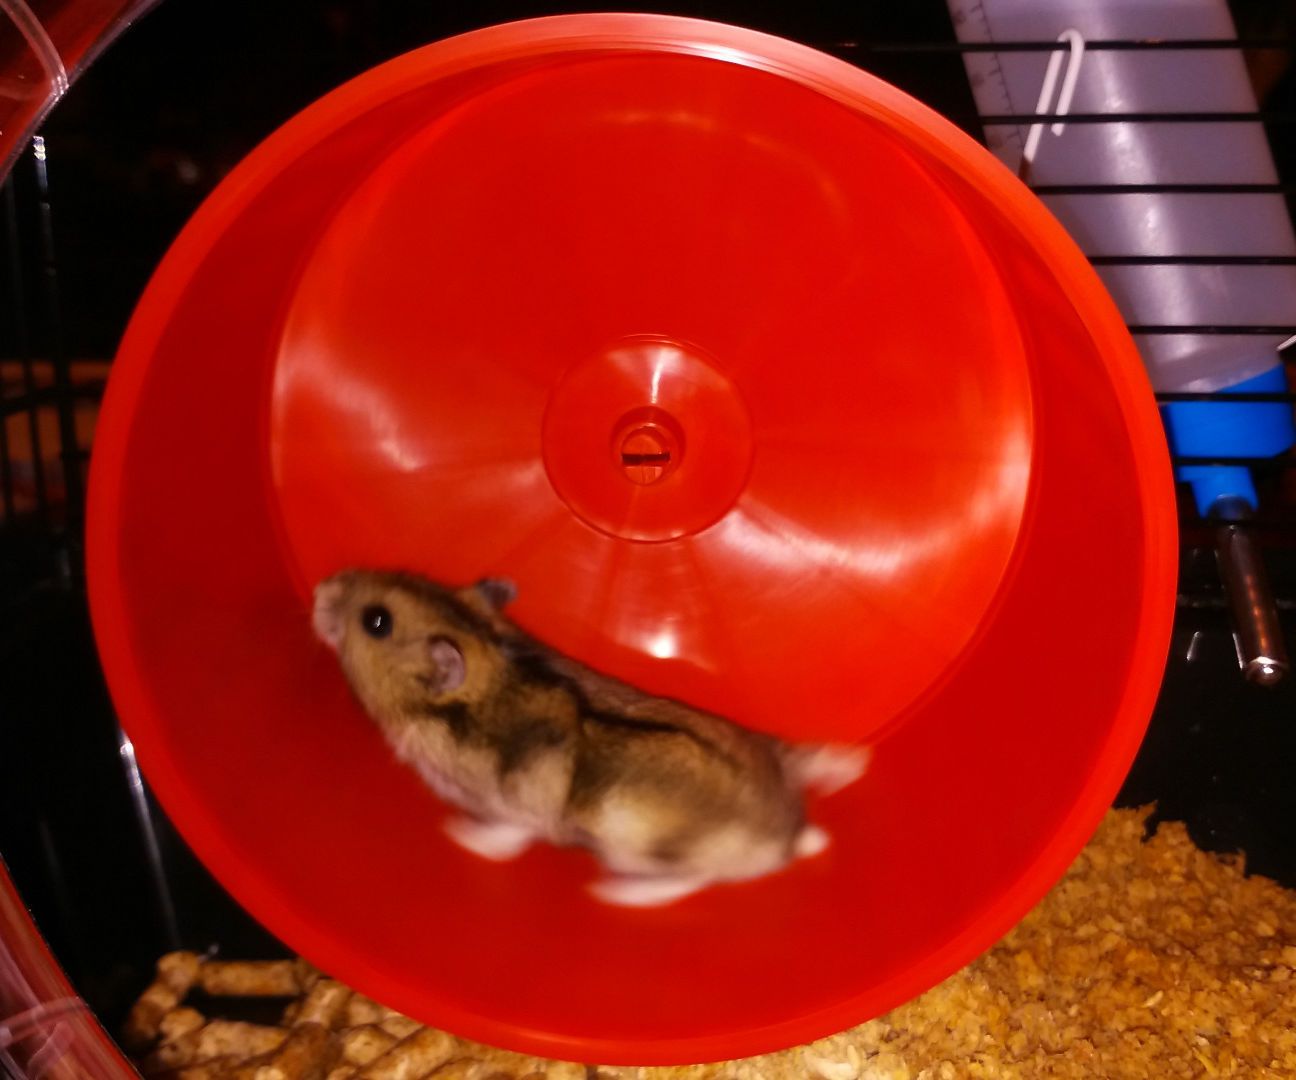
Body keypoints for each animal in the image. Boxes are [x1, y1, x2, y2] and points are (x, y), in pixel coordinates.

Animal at [312, 569, 869, 907]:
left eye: (376, 621)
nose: (321, 588)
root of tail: (791, 829)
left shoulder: (517, 813)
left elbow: (504, 838)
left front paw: (457, 832)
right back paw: (852, 760)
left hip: (639, 847)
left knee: (690, 881)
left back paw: (612, 894)